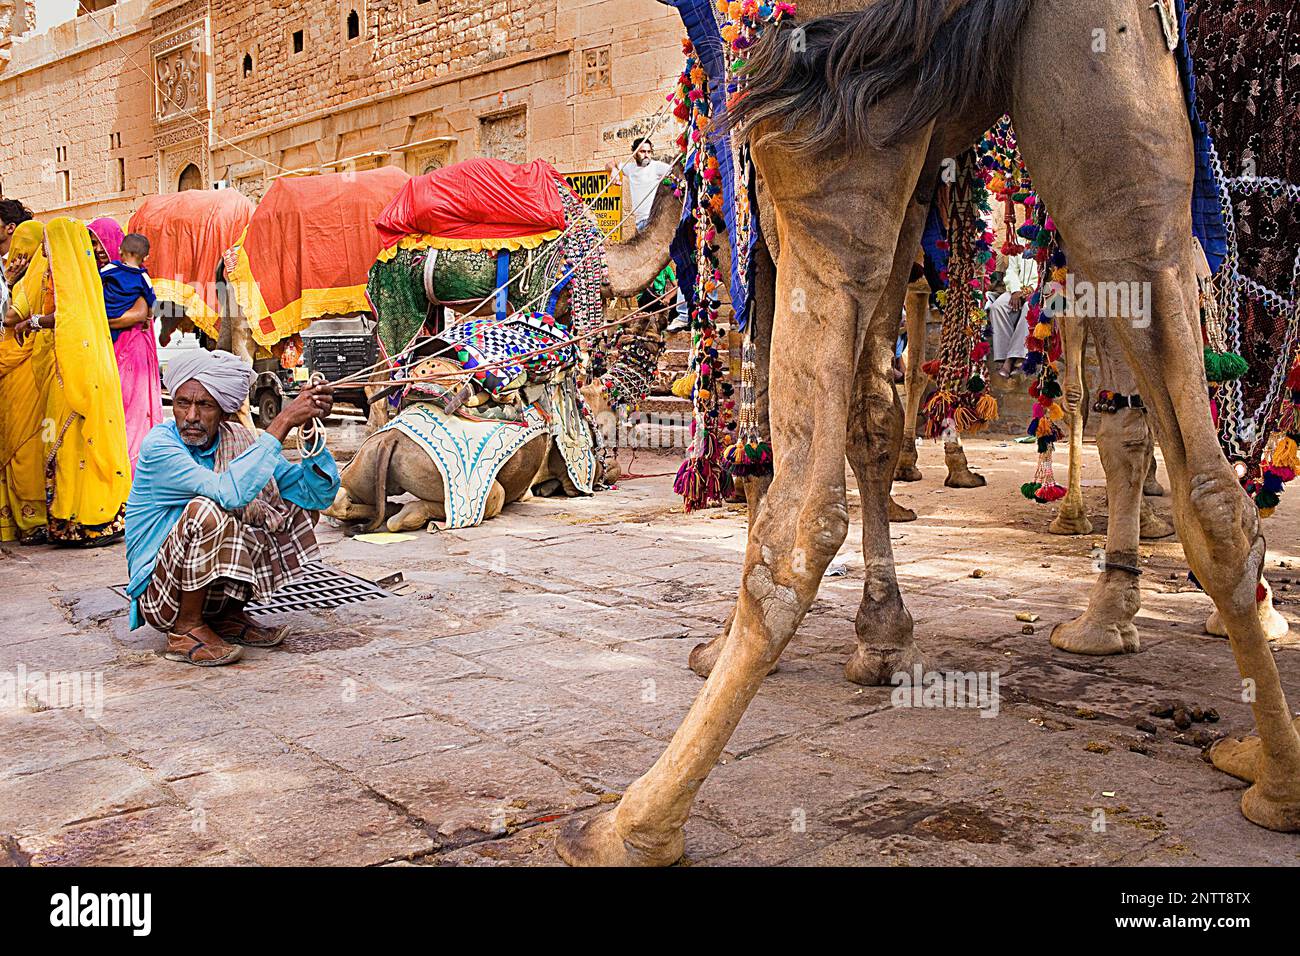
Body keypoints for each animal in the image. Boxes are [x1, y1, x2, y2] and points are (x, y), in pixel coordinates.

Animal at [556, 0, 1300, 866]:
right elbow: (871, 416)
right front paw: (884, 638)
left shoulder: (759, 181)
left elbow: (770, 434)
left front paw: (749, 641)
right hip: (1103, 92)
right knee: (1199, 472)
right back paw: (1261, 764)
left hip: (821, 128)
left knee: (804, 513)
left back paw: (631, 822)